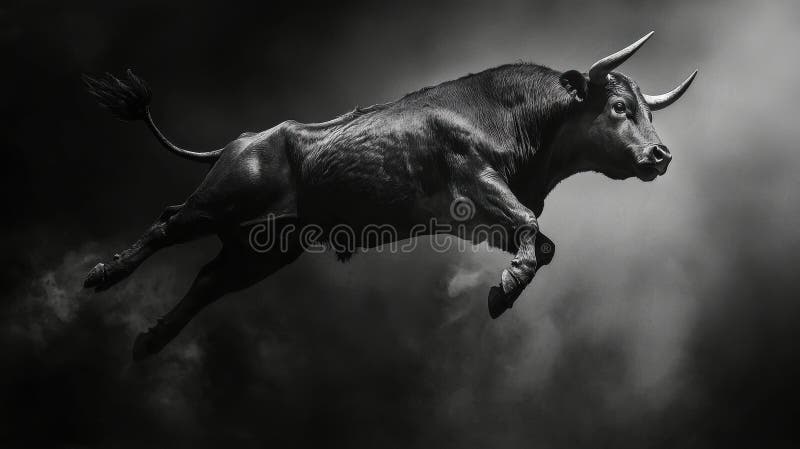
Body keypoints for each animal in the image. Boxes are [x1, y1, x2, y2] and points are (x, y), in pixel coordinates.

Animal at [82, 32, 696, 360]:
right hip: (221, 203)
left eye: (644, 109)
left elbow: (539, 243)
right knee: (165, 223)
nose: (660, 155)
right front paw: (505, 289)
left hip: (269, 246)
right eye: (618, 107)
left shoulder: (480, 218)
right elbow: (532, 229)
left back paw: (150, 342)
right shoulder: (479, 186)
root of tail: (245, 140)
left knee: (210, 279)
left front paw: (504, 289)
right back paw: (103, 276)